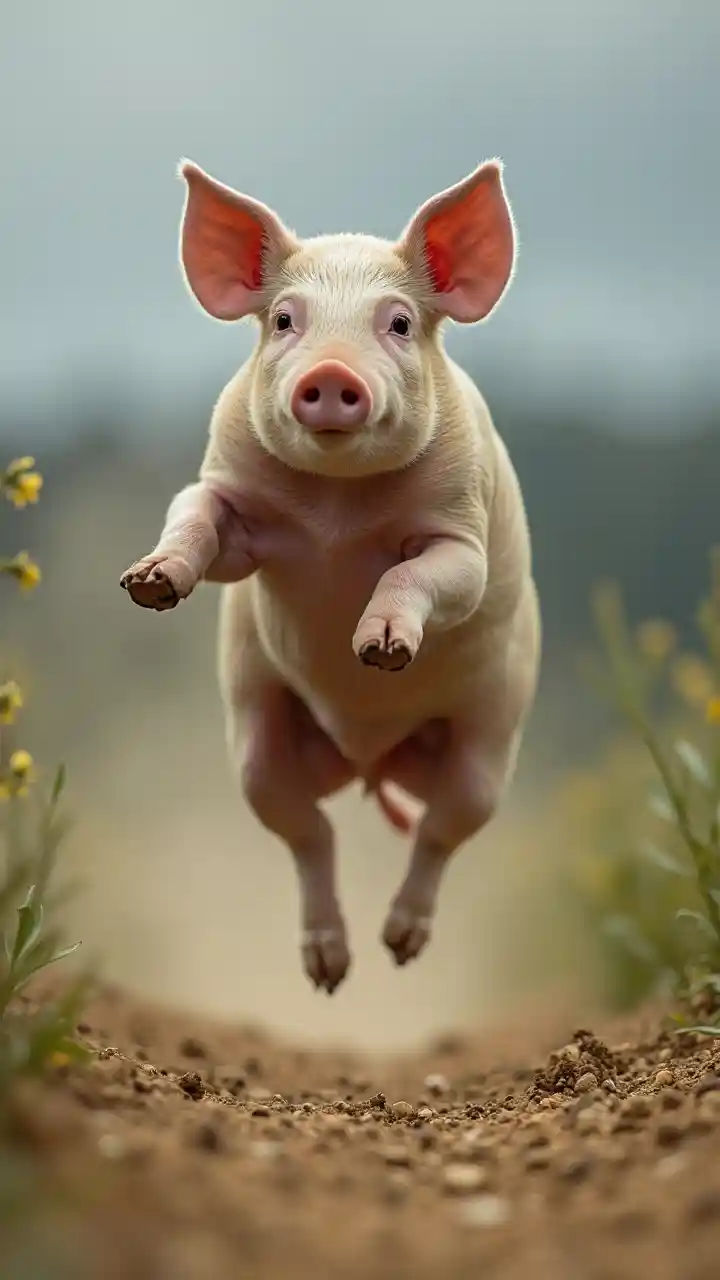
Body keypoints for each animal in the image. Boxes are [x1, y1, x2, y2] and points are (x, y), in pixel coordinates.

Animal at [120, 157, 541, 993]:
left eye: (400, 323)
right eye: (286, 320)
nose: (331, 374)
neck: (335, 512)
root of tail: (368, 760)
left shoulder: (462, 534)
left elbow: (427, 576)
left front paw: (378, 649)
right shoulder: (227, 495)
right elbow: (195, 518)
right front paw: (149, 585)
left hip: (490, 739)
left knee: (441, 830)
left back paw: (397, 948)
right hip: (257, 744)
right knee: (310, 833)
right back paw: (328, 972)